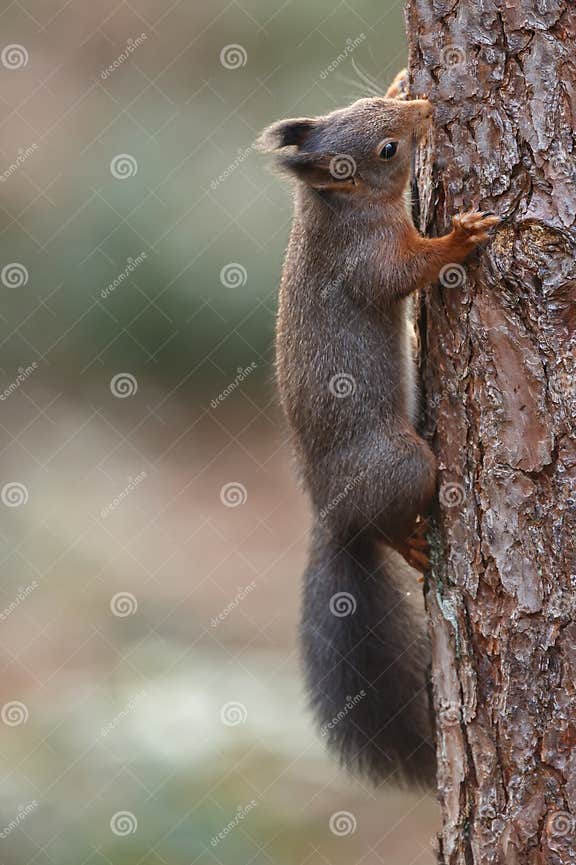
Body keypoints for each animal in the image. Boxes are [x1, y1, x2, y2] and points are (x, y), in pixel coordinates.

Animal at [258, 72, 500, 788]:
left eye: (367, 105)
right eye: (389, 150)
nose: (424, 108)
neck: (330, 211)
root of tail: (331, 511)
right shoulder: (365, 260)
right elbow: (403, 273)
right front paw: (458, 241)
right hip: (405, 463)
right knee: (390, 523)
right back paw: (411, 543)